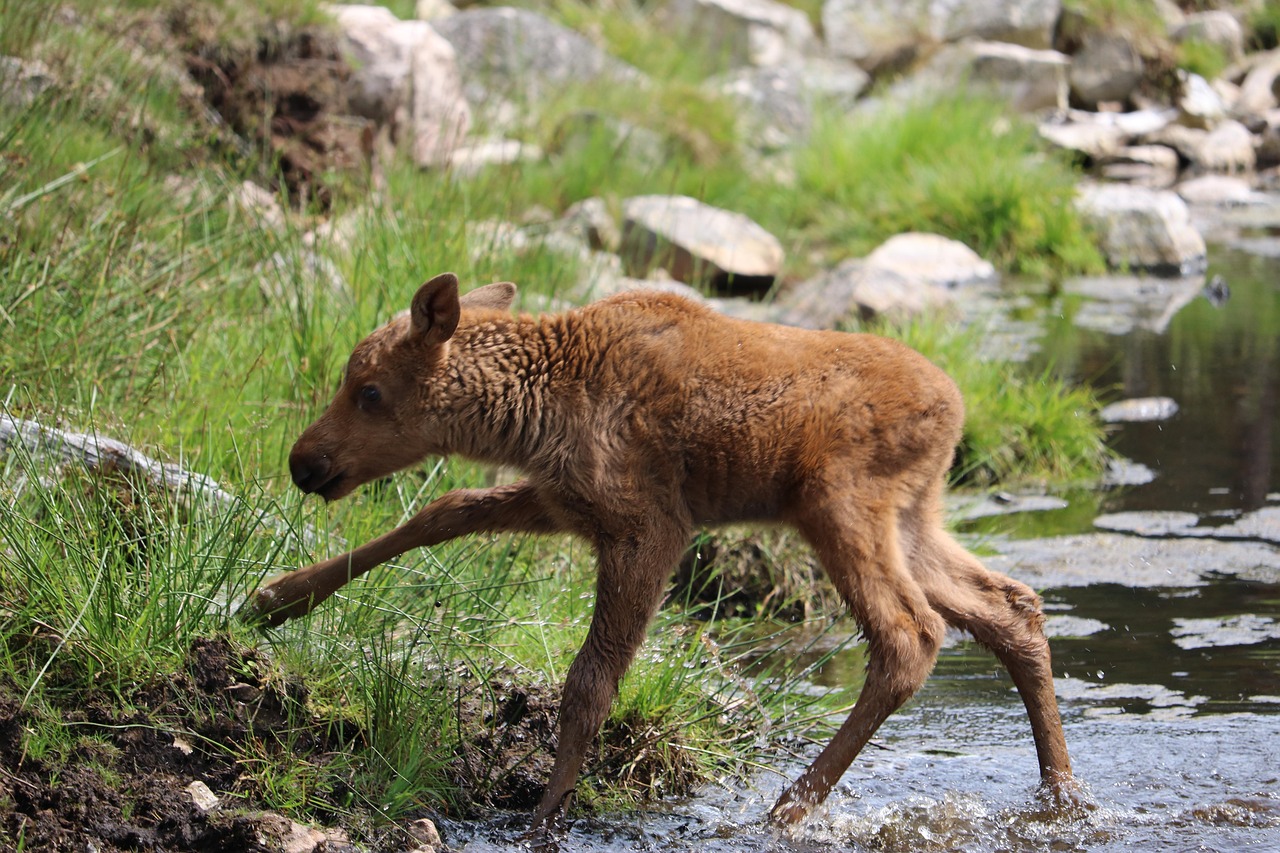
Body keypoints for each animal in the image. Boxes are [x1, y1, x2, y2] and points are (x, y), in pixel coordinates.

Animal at [248, 271, 1076, 832]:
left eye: (371, 391)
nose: (303, 460)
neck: (534, 412)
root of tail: (956, 406)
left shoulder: (650, 526)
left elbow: (589, 682)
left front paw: (544, 815)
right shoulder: (566, 503)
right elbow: (440, 511)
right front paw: (279, 595)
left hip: (840, 502)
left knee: (910, 634)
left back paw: (788, 808)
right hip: (914, 517)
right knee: (1011, 605)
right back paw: (1062, 790)